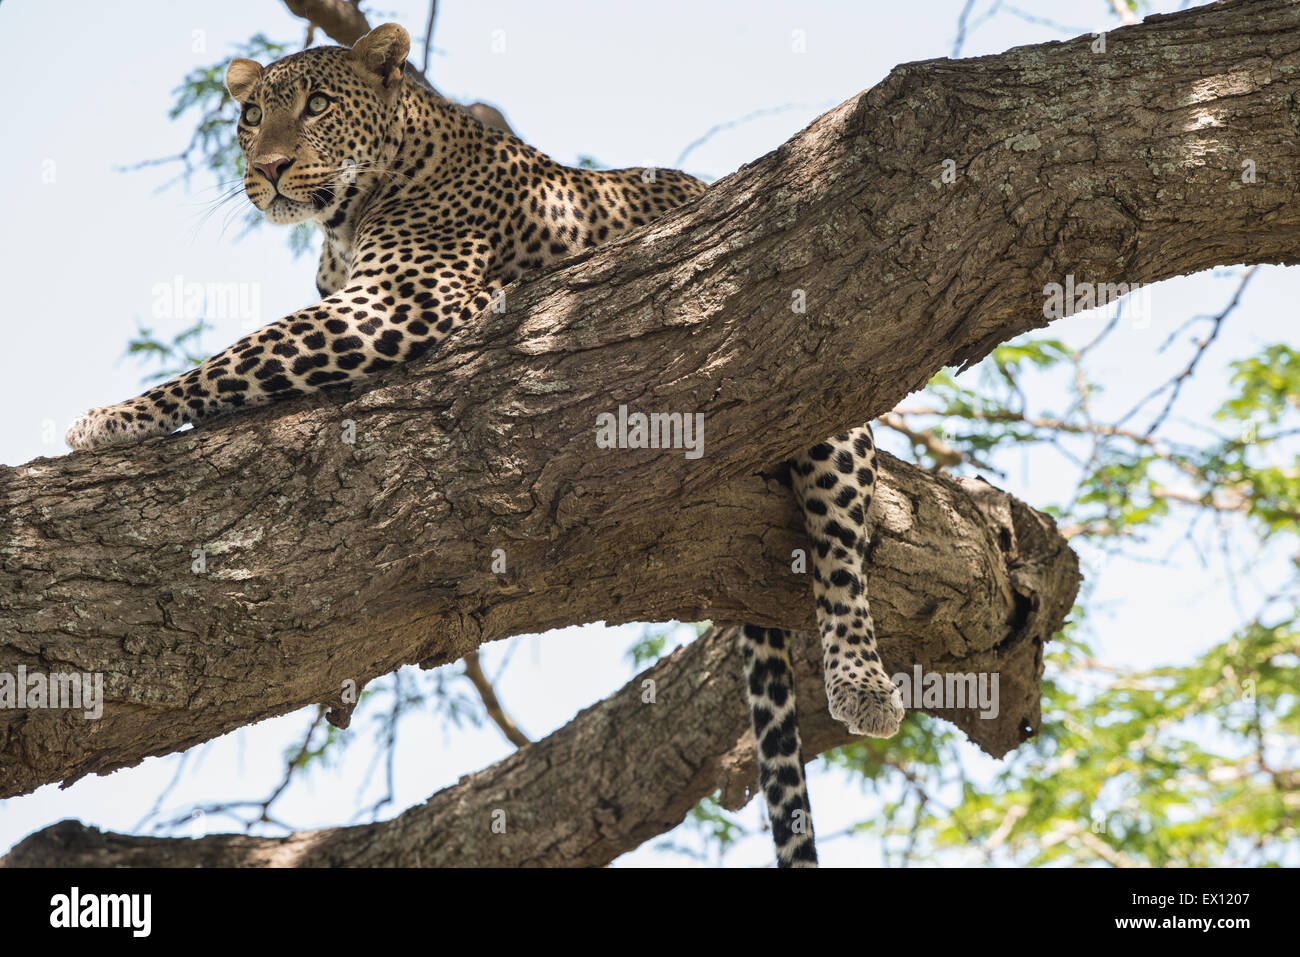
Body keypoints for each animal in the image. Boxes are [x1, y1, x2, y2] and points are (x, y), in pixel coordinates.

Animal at [63, 23, 904, 867]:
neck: (349, 215)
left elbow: (240, 355)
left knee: (839, 538)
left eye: (318, 104)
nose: (265, 168)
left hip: (831, 392)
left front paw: (112, 416)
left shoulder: (397, 302)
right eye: (250, 115)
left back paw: (861, 679)